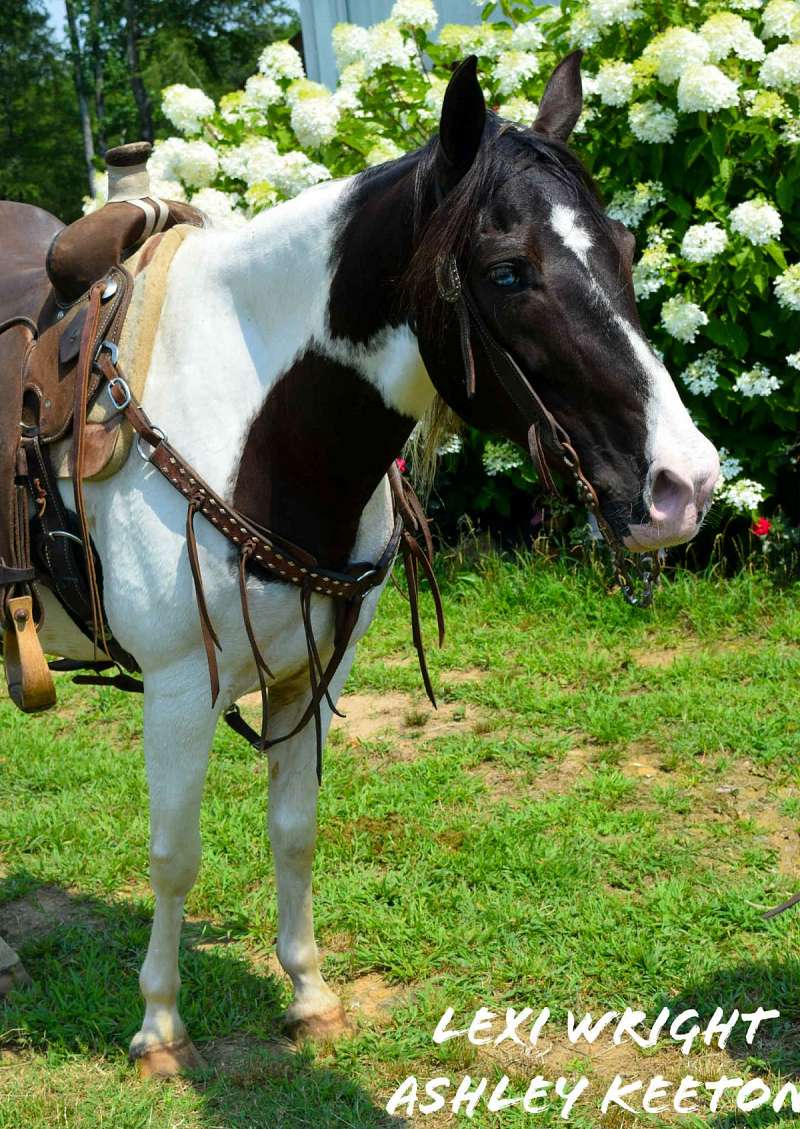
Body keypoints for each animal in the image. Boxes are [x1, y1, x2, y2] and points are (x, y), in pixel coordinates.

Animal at [5, 52, 719, 1075]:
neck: (261, 427)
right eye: (509, 271)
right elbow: (173, 854)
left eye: (623, 248)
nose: (685, 486)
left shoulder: (315, 669)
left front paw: (308, 993)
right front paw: (159, 1024)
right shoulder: (181, 685)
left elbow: (295, 830)